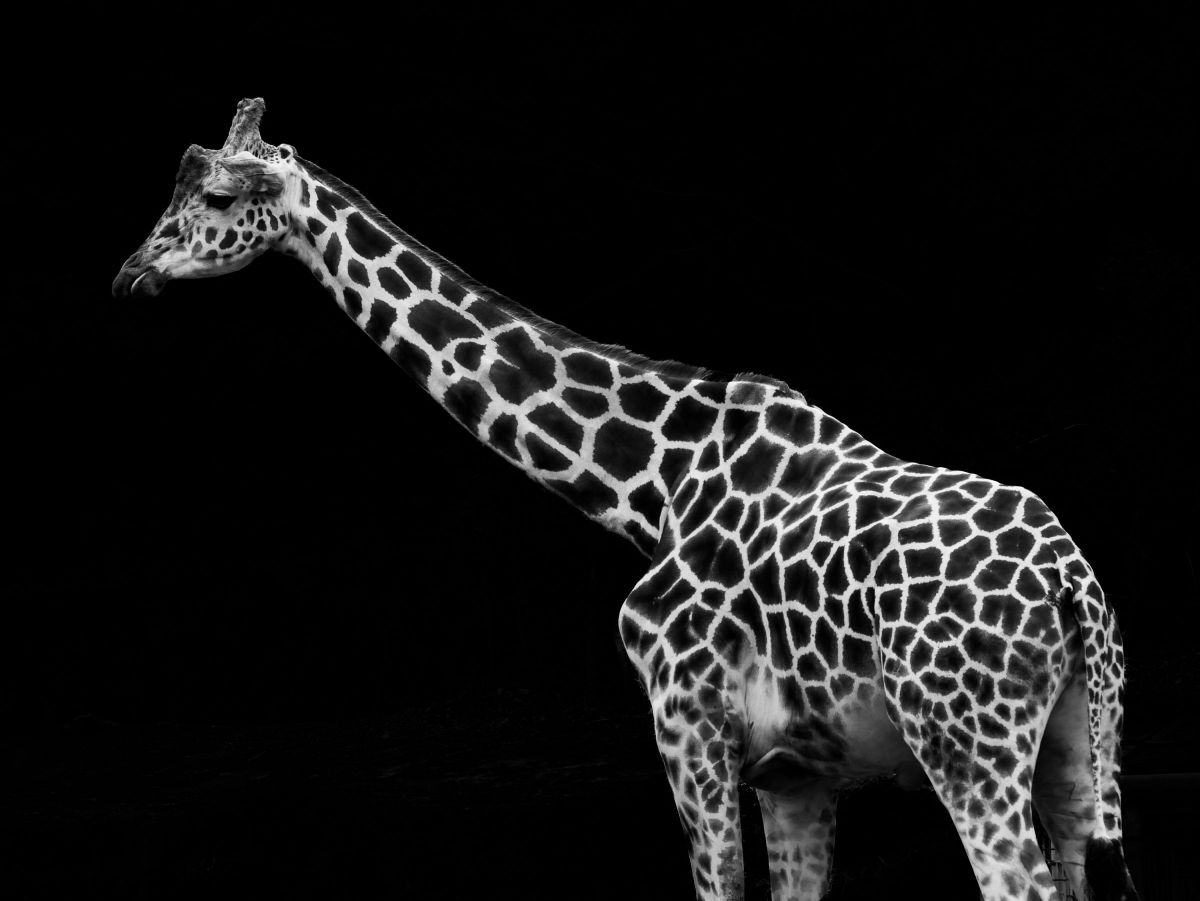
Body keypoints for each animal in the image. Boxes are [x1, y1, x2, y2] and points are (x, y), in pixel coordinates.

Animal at [112, 99, 1138, 901]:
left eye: (217, 199)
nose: (131, 274)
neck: (651, 486)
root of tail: (1071, 585)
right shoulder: (792, 775)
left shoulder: (689, 727)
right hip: (1080, 746)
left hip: (965, 744)